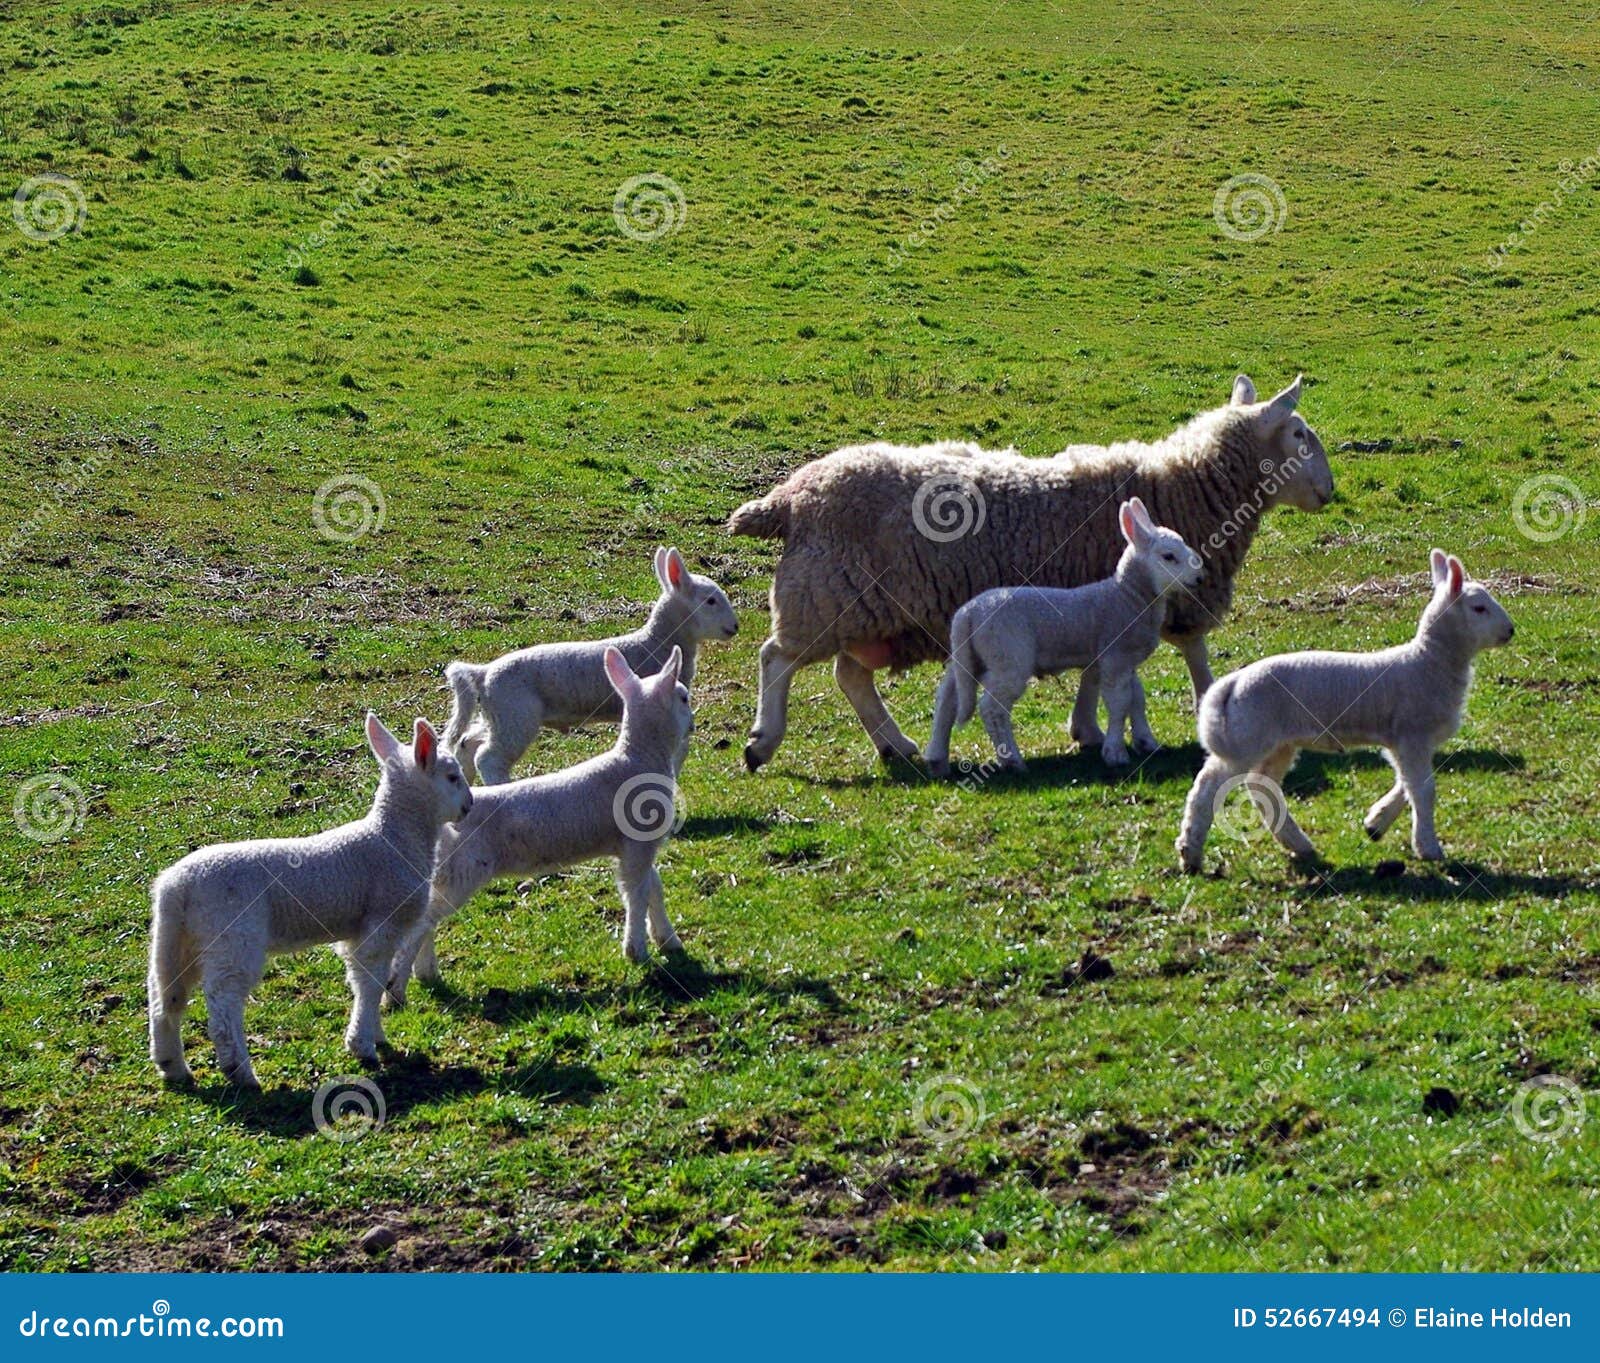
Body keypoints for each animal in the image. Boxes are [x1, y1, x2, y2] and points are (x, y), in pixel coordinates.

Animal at [147, 714, 472, 1088]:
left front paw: (376, 1035)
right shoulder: (382, 921)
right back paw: (241, 1072)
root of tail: (175, 886)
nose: (469, 806)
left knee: (164, 998)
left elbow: (368, 980)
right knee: (222, 1004)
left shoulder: (361, 930)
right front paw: (362, 1045)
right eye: (452, 777)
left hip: (175, 940)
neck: (392, 838)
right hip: (233, 936)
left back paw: (172, 1066)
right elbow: (371, 980)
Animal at [386, 646, 693, 1004]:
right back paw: (396, 991)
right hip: (464, 871)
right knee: (420, 925)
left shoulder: (636, 847)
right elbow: (636, 894)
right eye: (684, 697)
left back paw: (426, 973)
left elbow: (653, 887)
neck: (637, 760)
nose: (693, 724)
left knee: (426, 924)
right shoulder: (637, 844)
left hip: (449, 873)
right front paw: (637, 951)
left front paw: (668, 940)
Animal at [442, 546, 737, 785]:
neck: (654, 642)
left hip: (497, 716)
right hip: (515, 716)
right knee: (489, 758)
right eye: (710, 601)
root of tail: (483, 673)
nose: (734, 627)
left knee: (468, 743)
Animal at [924, 498, 1203, 775]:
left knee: (948, 697)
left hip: (971, 657)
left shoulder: (1126, 659)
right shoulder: (1115, 656)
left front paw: (1147, 743)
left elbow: (1137, 698)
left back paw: (938, 759)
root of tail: (967, 613)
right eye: (1169, 556)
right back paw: (1012, 760)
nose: (1199, 577)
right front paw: (1115, 753)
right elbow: (1119, 702)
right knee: (991, 708)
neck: (1127, 596)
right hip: (1008, 656)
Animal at [1177, 550, 1514, 872]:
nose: (1510, 631)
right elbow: (1423, 789)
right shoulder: (1412, 733)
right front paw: (1428, 847)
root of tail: (1230, 684)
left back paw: (1298, 844)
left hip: (1276, 743)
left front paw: (1376, 823)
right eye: (1479, 608)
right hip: (1246, 739)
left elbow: (1406, 784)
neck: (1428, 661)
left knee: (1261, 787)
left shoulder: (1405, 740)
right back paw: (1190, 852)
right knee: (1207, 786)